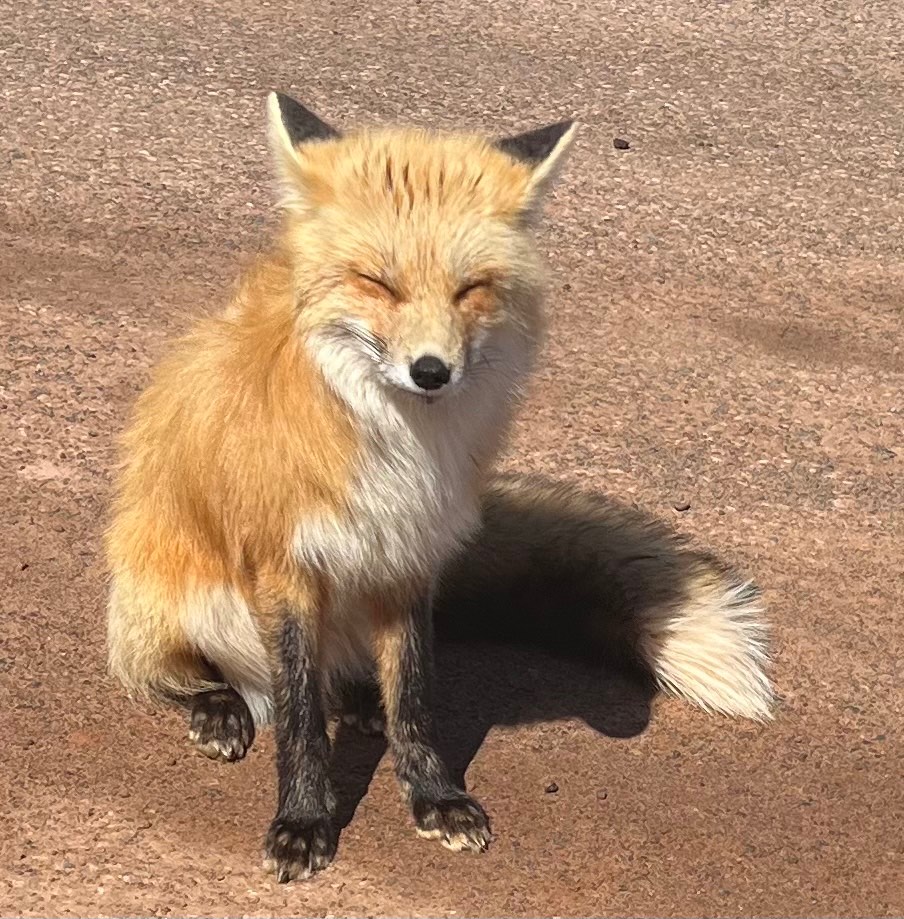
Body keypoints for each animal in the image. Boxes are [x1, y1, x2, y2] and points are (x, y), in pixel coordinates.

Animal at [105, 92, 772, 883]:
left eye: (470, 290)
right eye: (379, 283)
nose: (431, 371)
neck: (401, 448)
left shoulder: (410, 558)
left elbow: (416, 694)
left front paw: (433, 796)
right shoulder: (287, 564)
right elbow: (299, 717)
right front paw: (304, 820)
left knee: (353, 679)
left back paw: (361, 702)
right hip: (175, 598)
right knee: (171, 671)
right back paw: (216, 704)